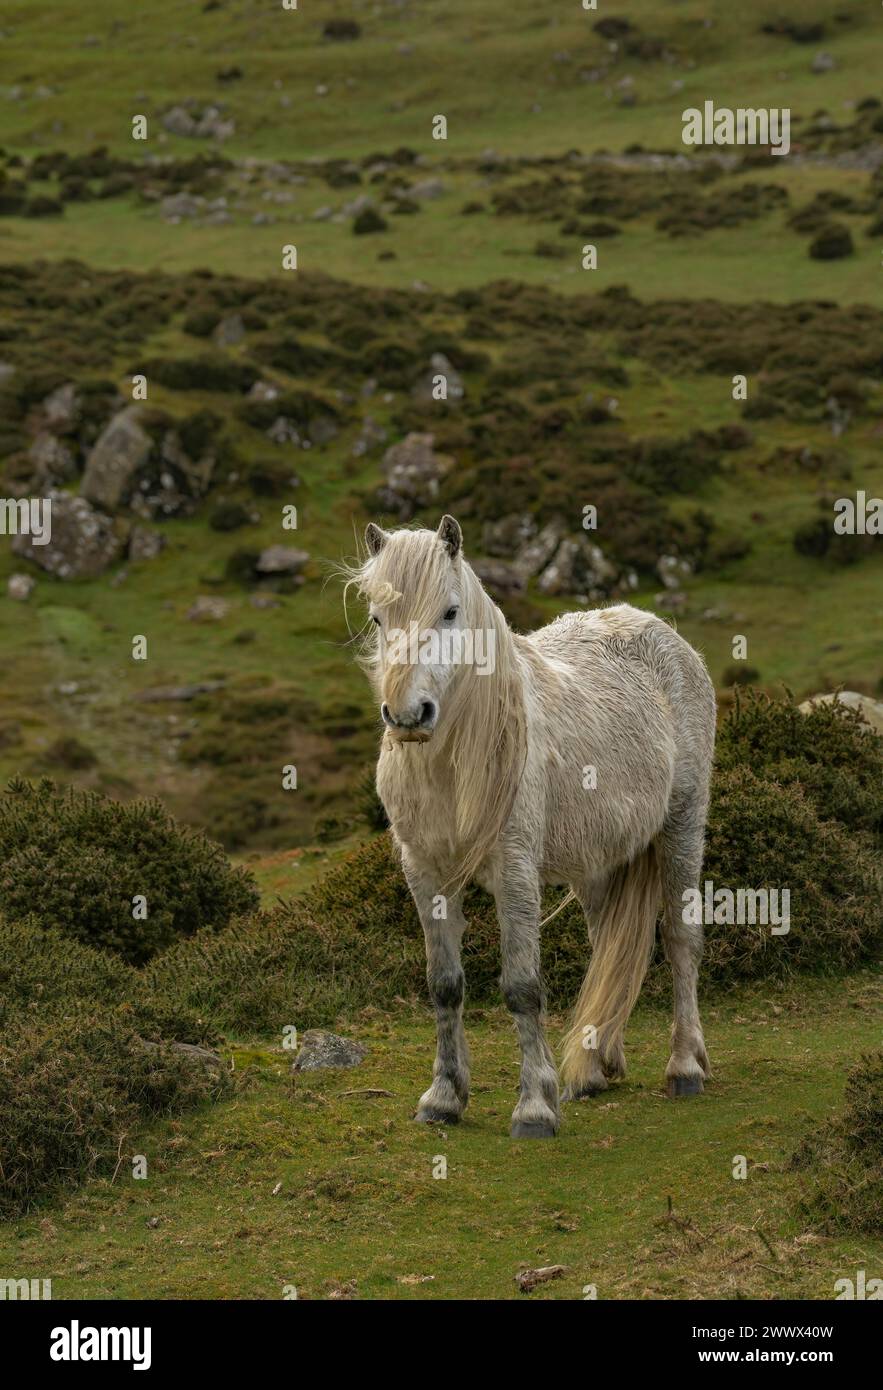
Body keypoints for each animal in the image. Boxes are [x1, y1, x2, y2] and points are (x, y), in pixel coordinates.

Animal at [345, 514, 716, 1138]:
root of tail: (660, 631)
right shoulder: (426, 875)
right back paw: (595, 1066)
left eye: (450, 611)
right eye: (377, 618)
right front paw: (444, 1097)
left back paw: (684, 1066)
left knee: (681, 939)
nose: (408, 716)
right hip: (600, 859)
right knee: (607, 942)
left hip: (683, 825)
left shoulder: (515, 872)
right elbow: (444, 985)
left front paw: (535, 1107)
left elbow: (521, 988)